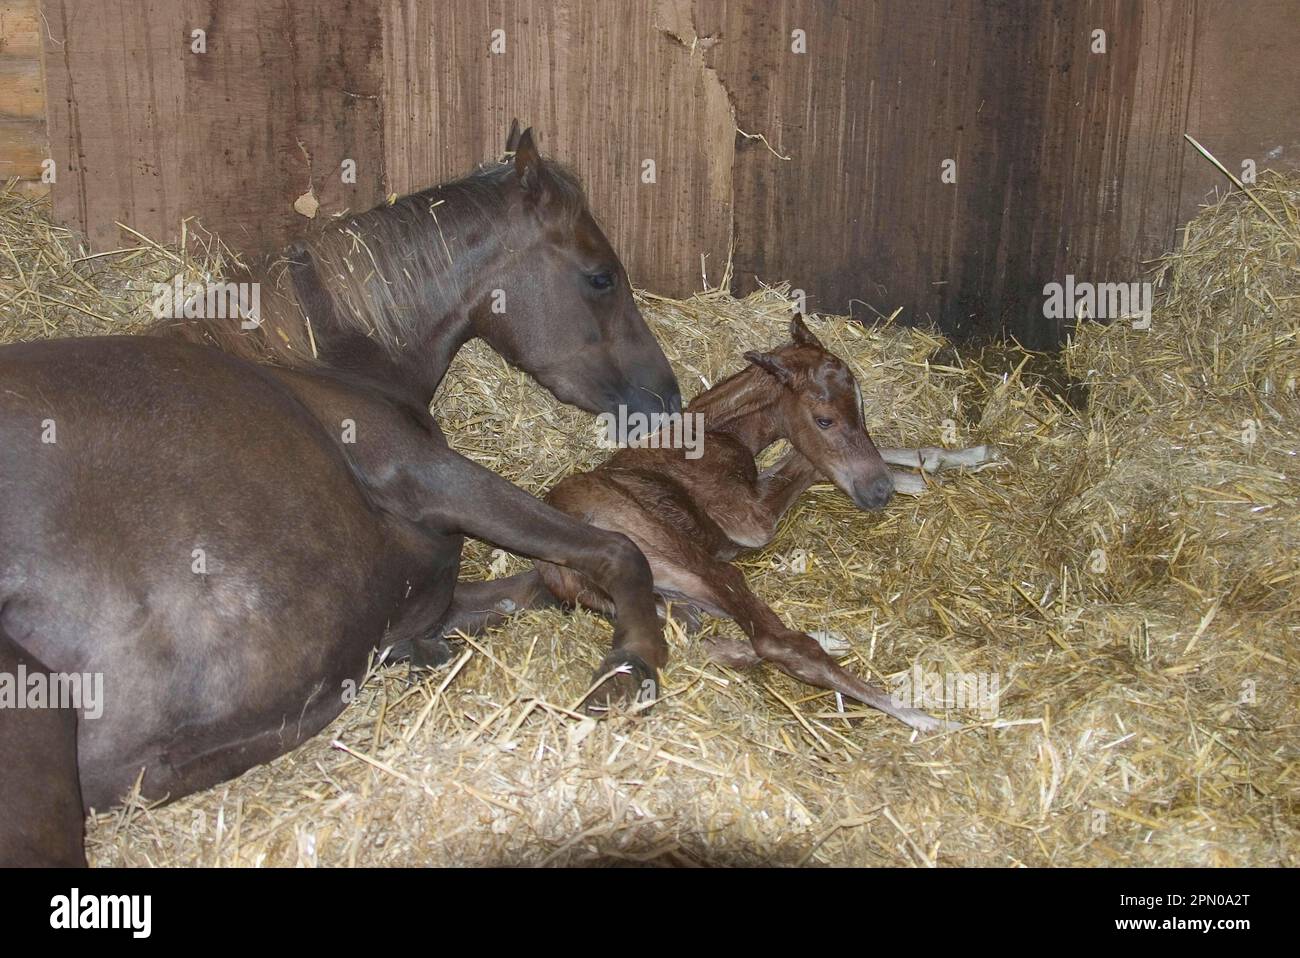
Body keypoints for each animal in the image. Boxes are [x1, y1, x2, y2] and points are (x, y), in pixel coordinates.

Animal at [0, 123, 682, 866]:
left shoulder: (432, 595)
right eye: (600, 276)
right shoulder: (433, 479)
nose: (668, 399)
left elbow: (536, 586)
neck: (318, 361)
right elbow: (617, 553)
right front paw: (632, 663)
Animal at [532, 314, 993, 731]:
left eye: (861, 409)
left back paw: (831, 639)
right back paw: (931, 720)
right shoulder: (751, 520)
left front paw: (952, 460)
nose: (878, 494)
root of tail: (558, 569)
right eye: (824, 419)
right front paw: (915, 476)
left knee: (701, 637)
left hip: (664, 597)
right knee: (778, 643)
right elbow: (808, 461)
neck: (714, 432)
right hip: (687, 562)